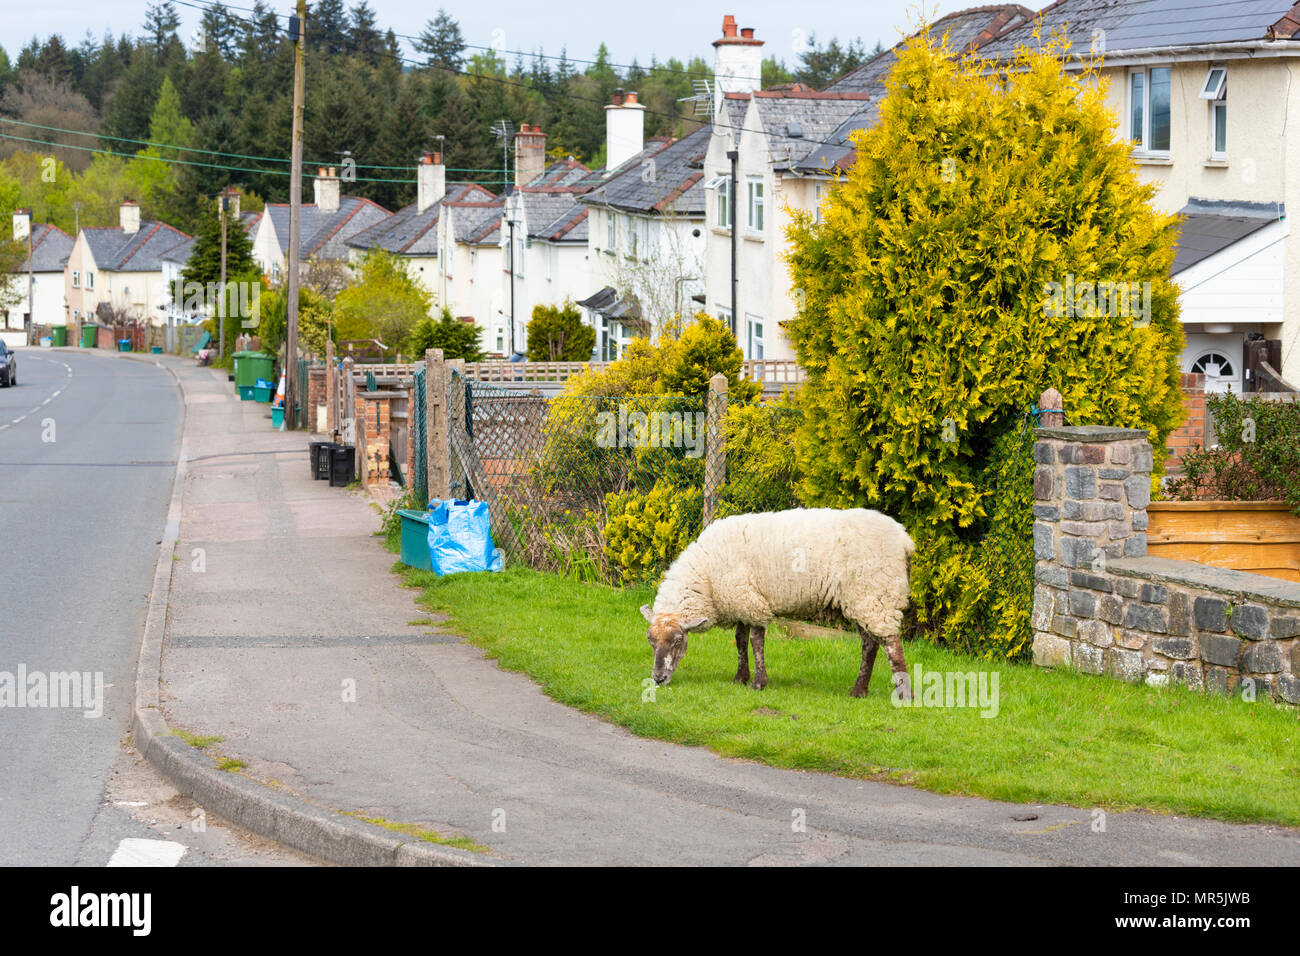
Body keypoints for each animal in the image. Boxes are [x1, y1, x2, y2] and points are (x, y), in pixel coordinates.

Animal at [640, 508, 915, 699]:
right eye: (650, 641)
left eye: (678, 641)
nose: (658, 679)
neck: (705, 575)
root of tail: (903, 539)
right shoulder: (742, 600)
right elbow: (740, 640)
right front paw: (740, 677)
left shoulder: (751, 602)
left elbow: (755, 641)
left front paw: (758, 683)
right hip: (863, 598)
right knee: (870, 644)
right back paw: (859, 691)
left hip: (878, 593)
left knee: (891, 646)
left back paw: (904, 694)